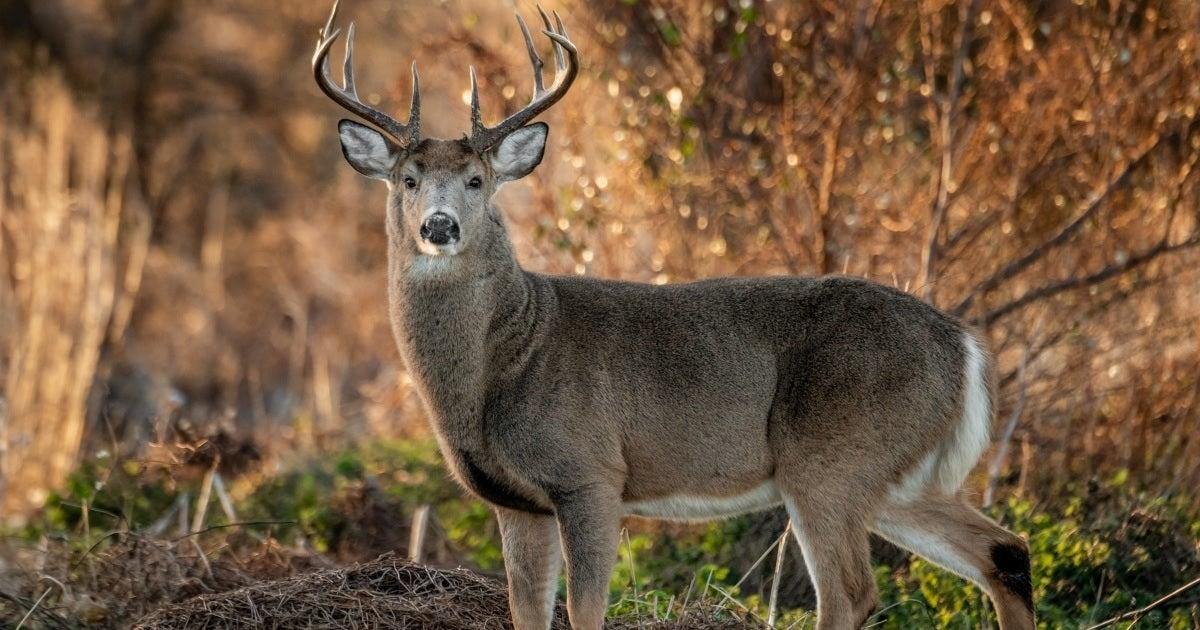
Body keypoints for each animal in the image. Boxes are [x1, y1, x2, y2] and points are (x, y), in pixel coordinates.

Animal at [311, 3, 1035, 629]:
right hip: (897, 476)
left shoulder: (591, 473)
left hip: (833, 457)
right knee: (1005, 552)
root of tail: (964, 345)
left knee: (853, 594)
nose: (439, 226)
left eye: (477, 181)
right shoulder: (514, 501)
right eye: (407, 179)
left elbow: (587, 612)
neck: (506, 359)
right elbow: (526, 614)